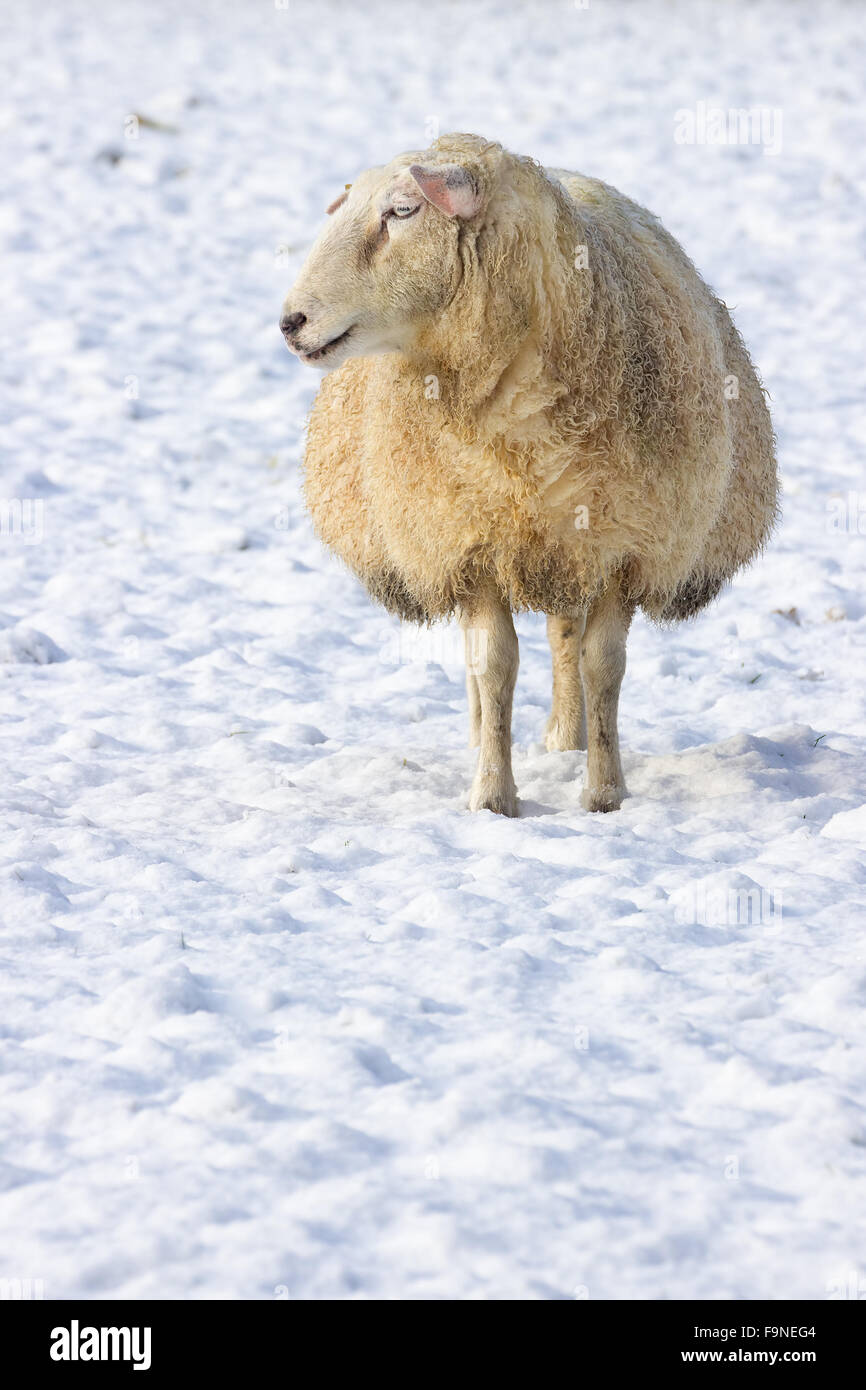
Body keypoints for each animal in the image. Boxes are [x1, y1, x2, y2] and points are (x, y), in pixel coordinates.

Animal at [280, 133, 778, 817]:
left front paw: (605, 792)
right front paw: (492, 795)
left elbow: (602, 666)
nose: (290, 322)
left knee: (566, 637)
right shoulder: (467, 544)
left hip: (569, 544)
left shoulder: (627, 546)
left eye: (403, 211)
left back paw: (566, 739)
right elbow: (494, 667)